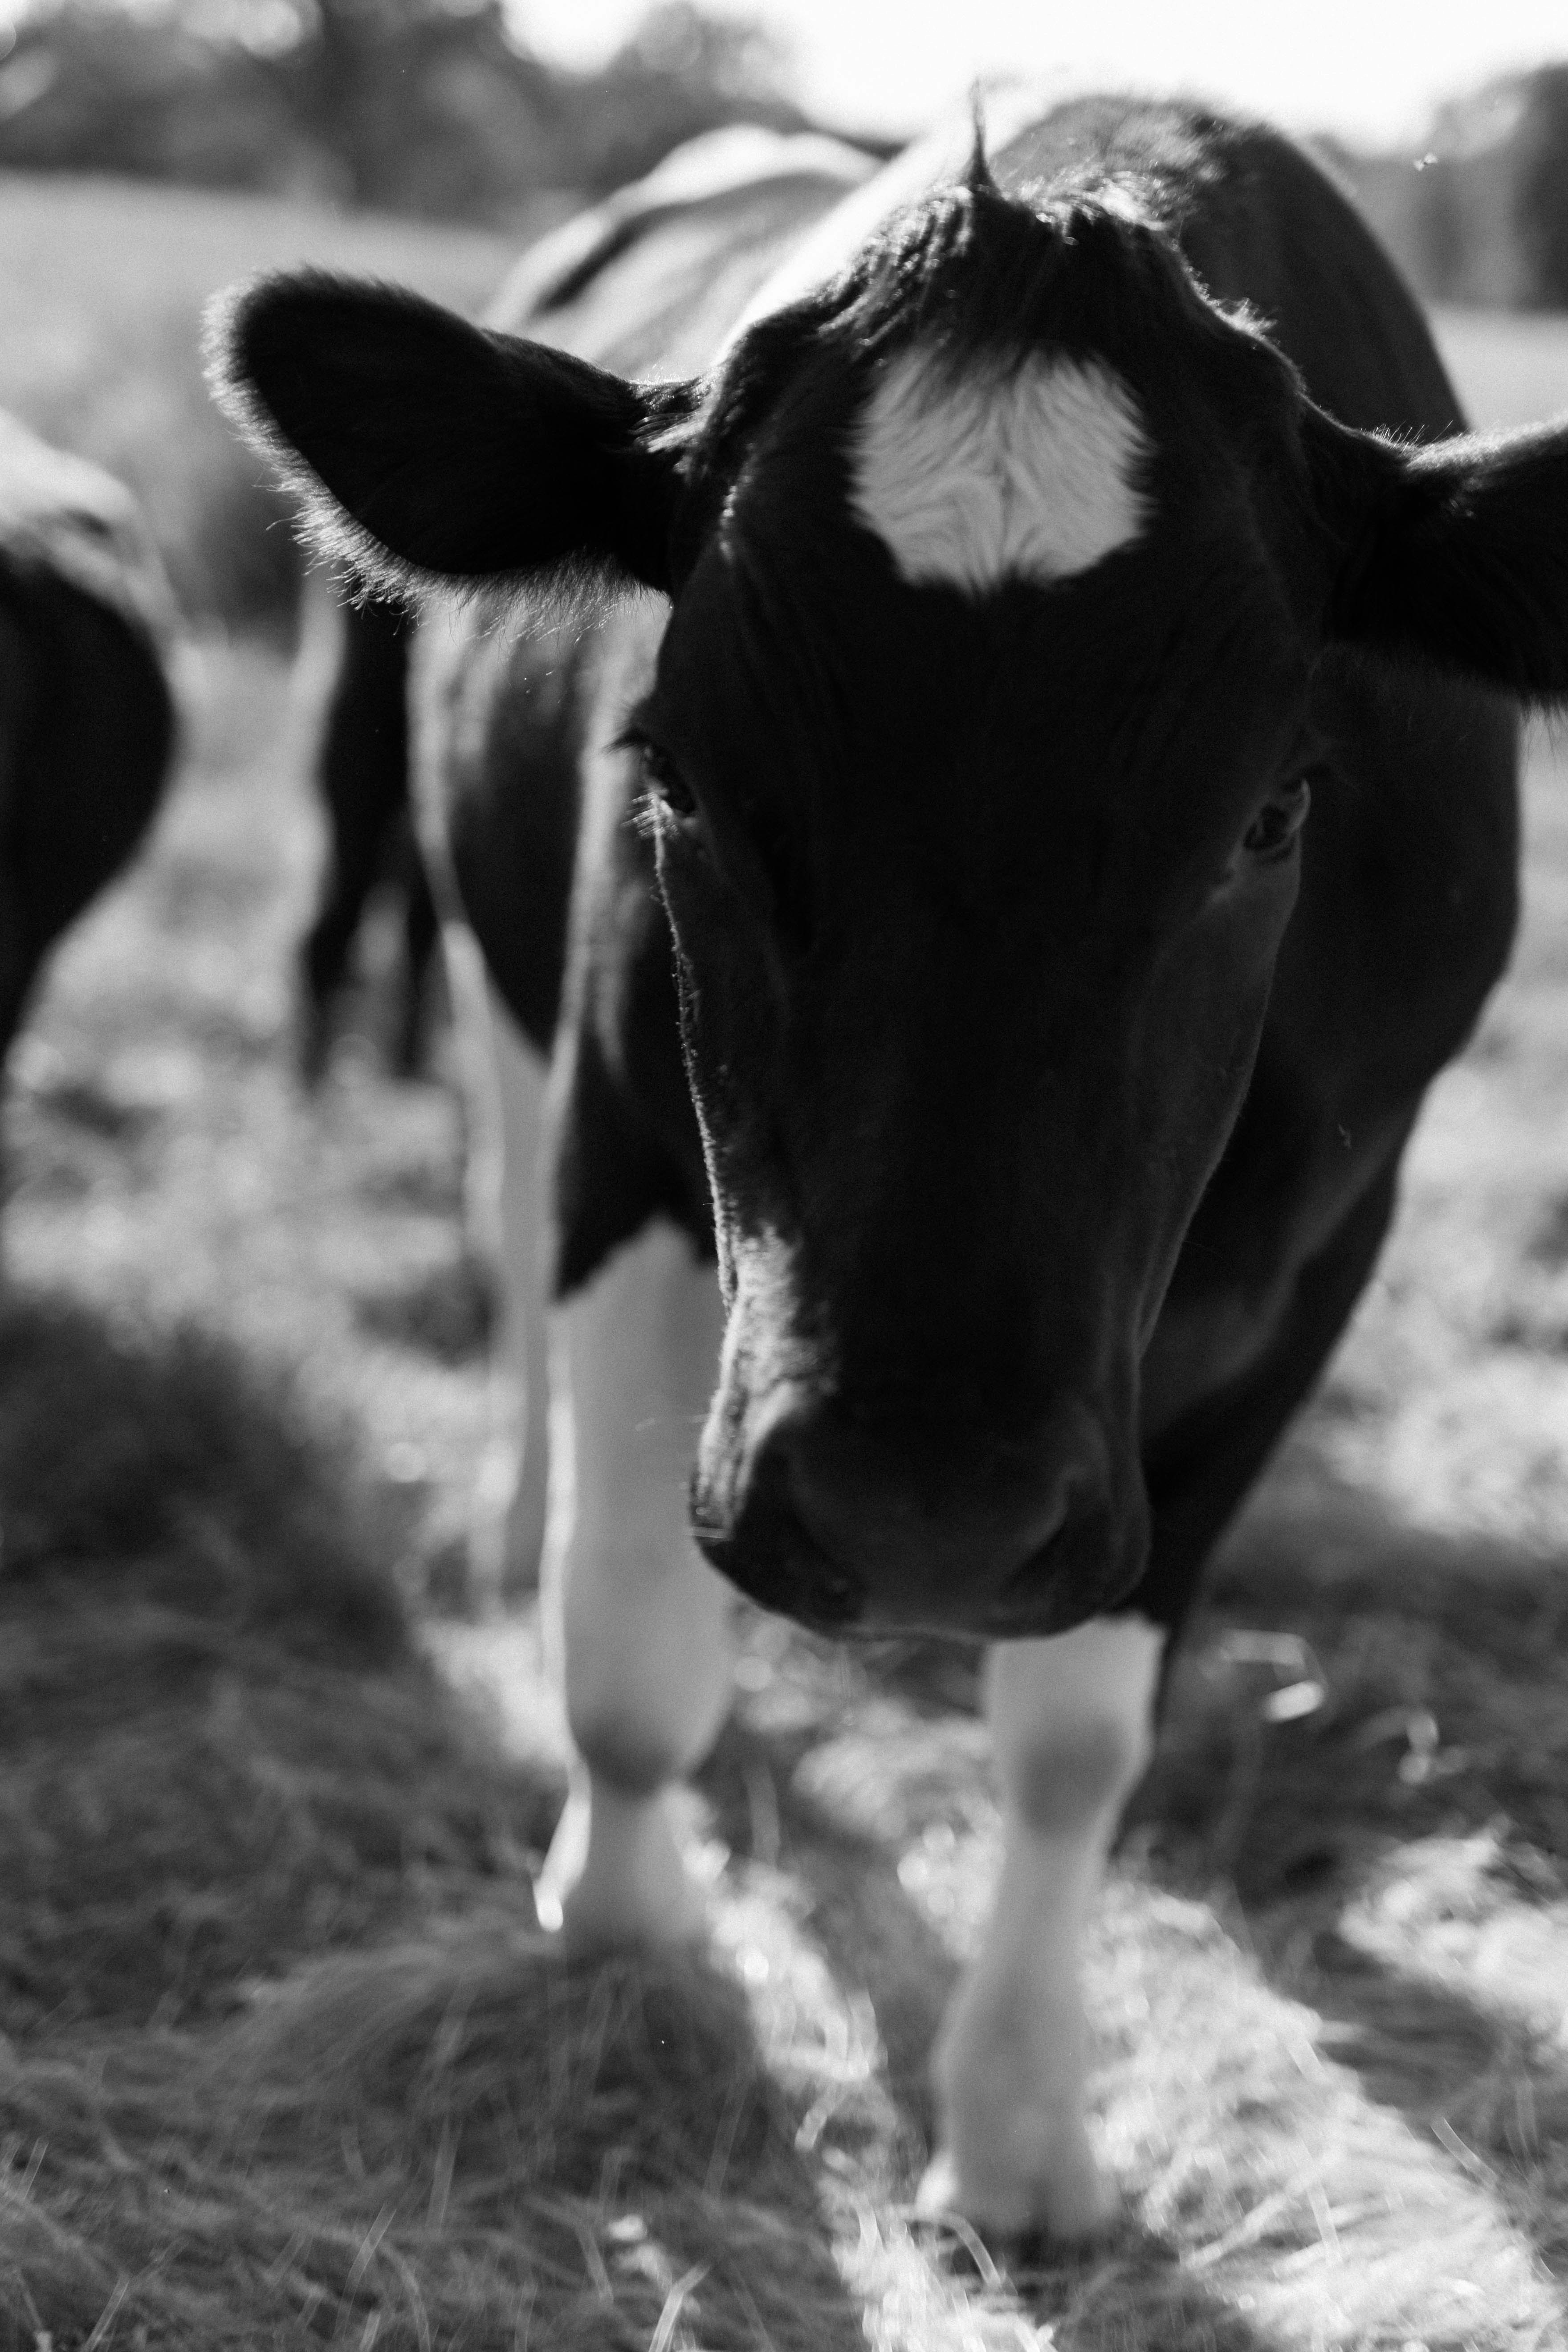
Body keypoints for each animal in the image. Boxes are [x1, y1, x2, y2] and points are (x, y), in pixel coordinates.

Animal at [210, 91, 1568, 2243]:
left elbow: (1075, 1745)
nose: (919, 1505)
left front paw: (1015, 2129)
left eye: (1274, 810)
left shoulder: (1317, 1251)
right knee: (502, 1254)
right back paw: (510, 1514)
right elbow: (626, 1647)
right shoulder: (627, 1145)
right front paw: (623, 1941)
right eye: (673, 770)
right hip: (483, 972)